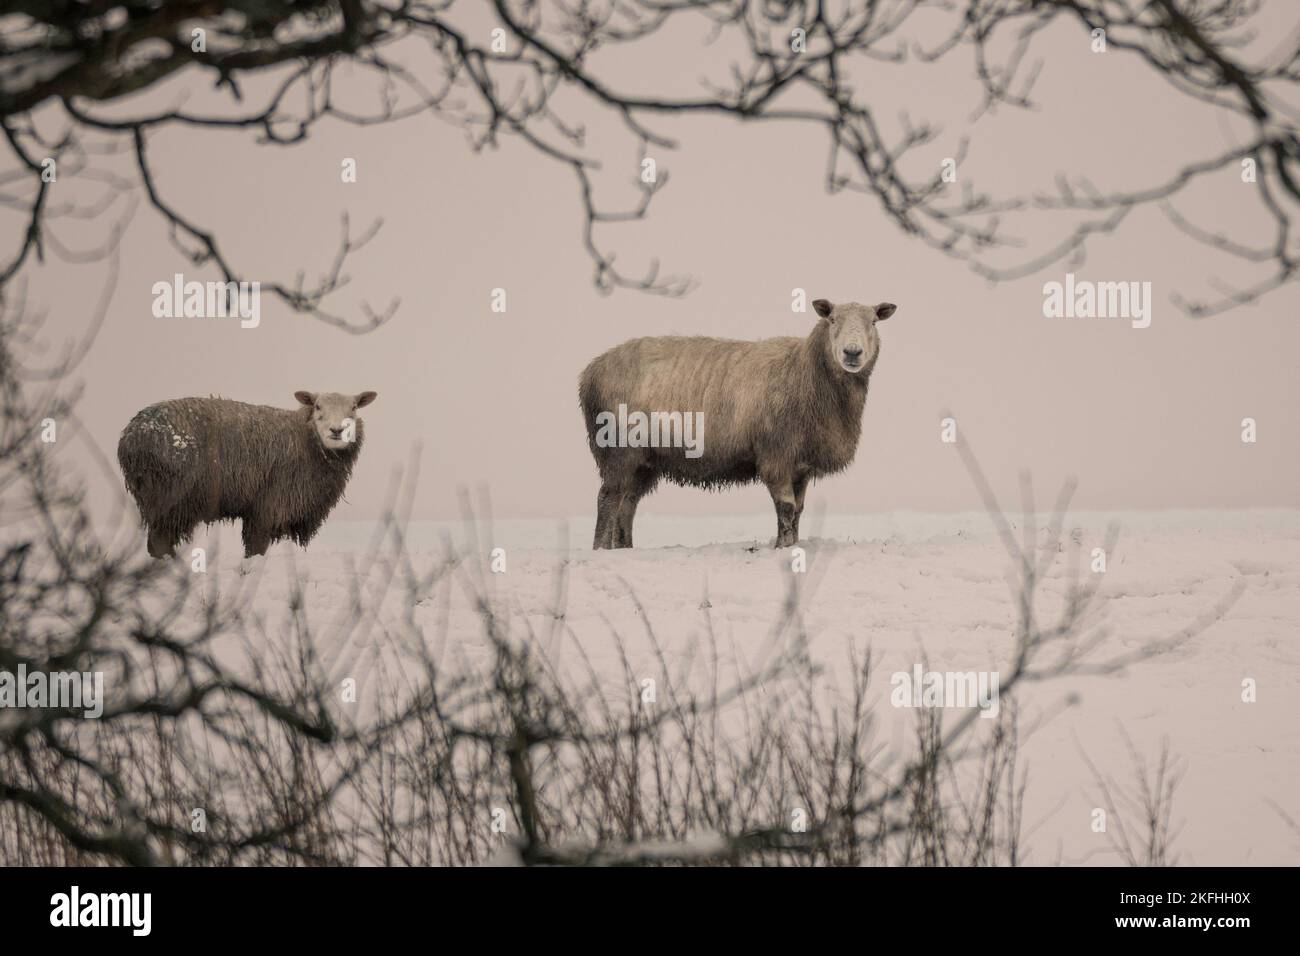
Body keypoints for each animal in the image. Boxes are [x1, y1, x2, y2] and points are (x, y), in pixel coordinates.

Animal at [117, 391, 377, 559]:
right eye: (317, 406)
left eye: (354, 408)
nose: (337, 430)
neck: (307, 440)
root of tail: (132, 436)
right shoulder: (270, 503)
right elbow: (256, 546)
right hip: (170, 496)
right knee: (159, 543)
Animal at [578, 299, 897, 549]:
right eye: (832, 319)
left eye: (873, 321)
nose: (852, 352)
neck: (805, 371)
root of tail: (590, 371)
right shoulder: (775, 455)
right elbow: (786, 508)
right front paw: (782, 547)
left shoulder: (801, 465)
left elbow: (799, 510)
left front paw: (793, 545)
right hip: (618, 450)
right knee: (608, 499)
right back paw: (601, 549)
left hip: (643, 460)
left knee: (627, 503)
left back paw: (624, 548)